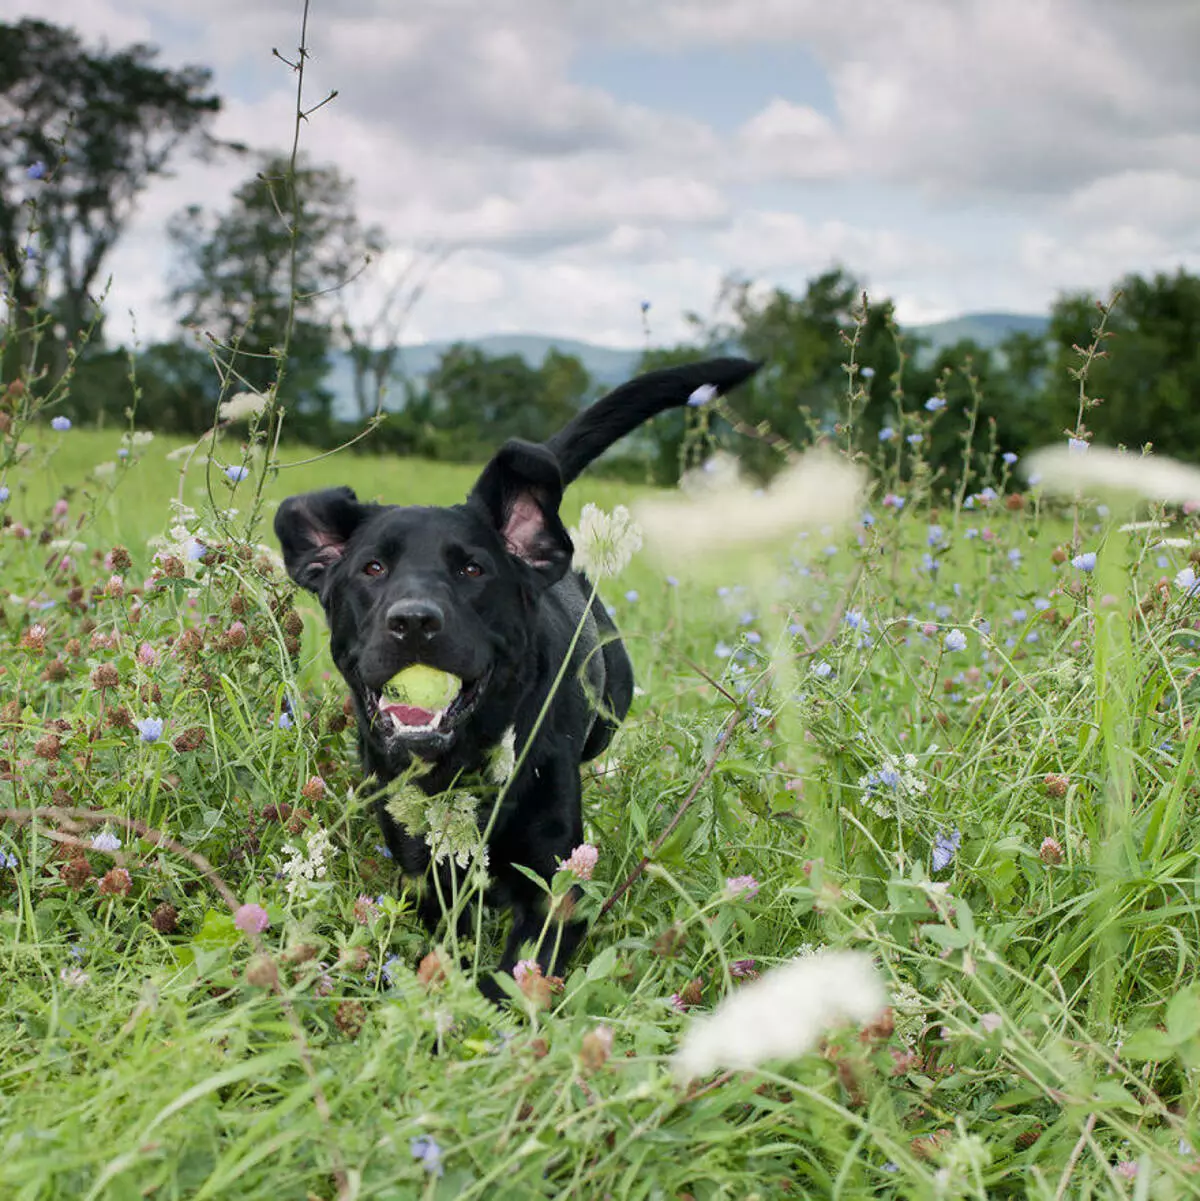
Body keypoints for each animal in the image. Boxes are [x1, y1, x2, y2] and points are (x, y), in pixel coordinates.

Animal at [276, 355, 754, 994]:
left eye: (473, 569)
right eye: (372, 568)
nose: (414, 621)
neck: (459, 771)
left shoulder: (555, 887)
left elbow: (514, 975)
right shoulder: (425, 876)